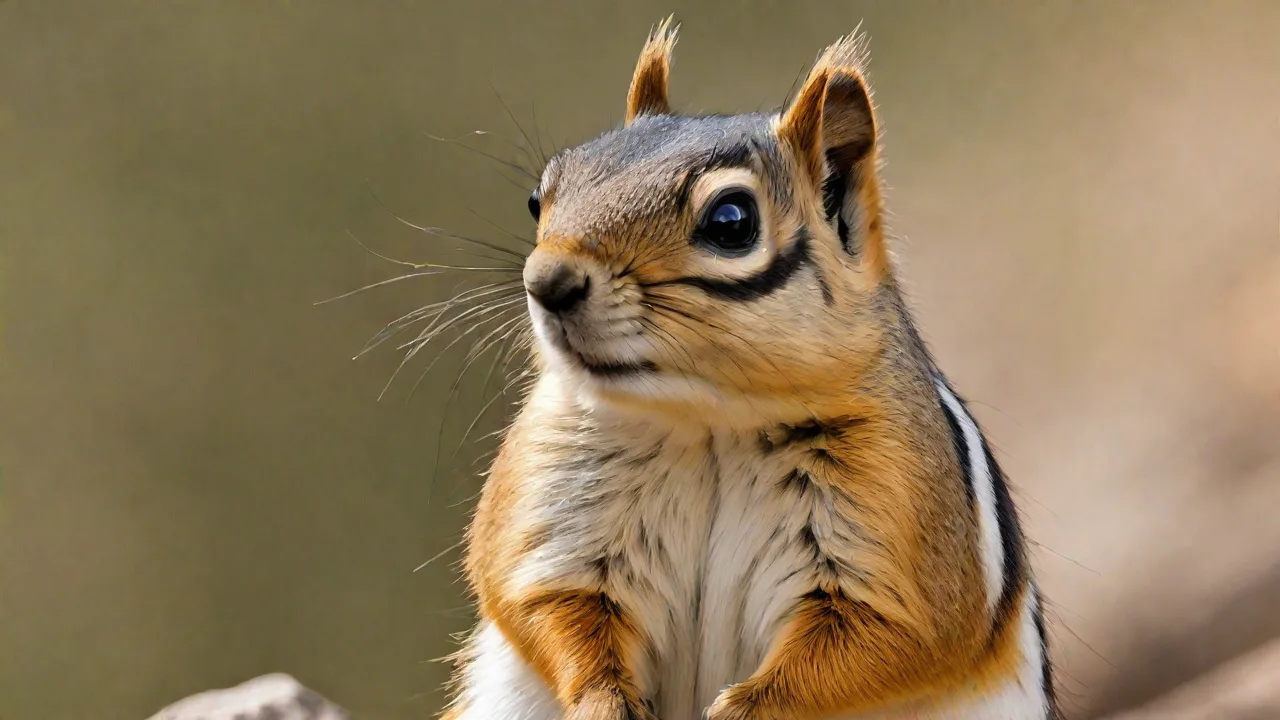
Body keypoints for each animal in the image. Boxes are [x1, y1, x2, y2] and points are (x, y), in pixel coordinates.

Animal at [439, 18, 1057, 720]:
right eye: (538, 197)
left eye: (731, 221)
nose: (547, 281)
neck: (709, 421)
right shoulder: (555, 505)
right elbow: (543, 601)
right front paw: (602, 699)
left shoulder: (899, 521)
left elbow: (884, 642)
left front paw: (740, 708)